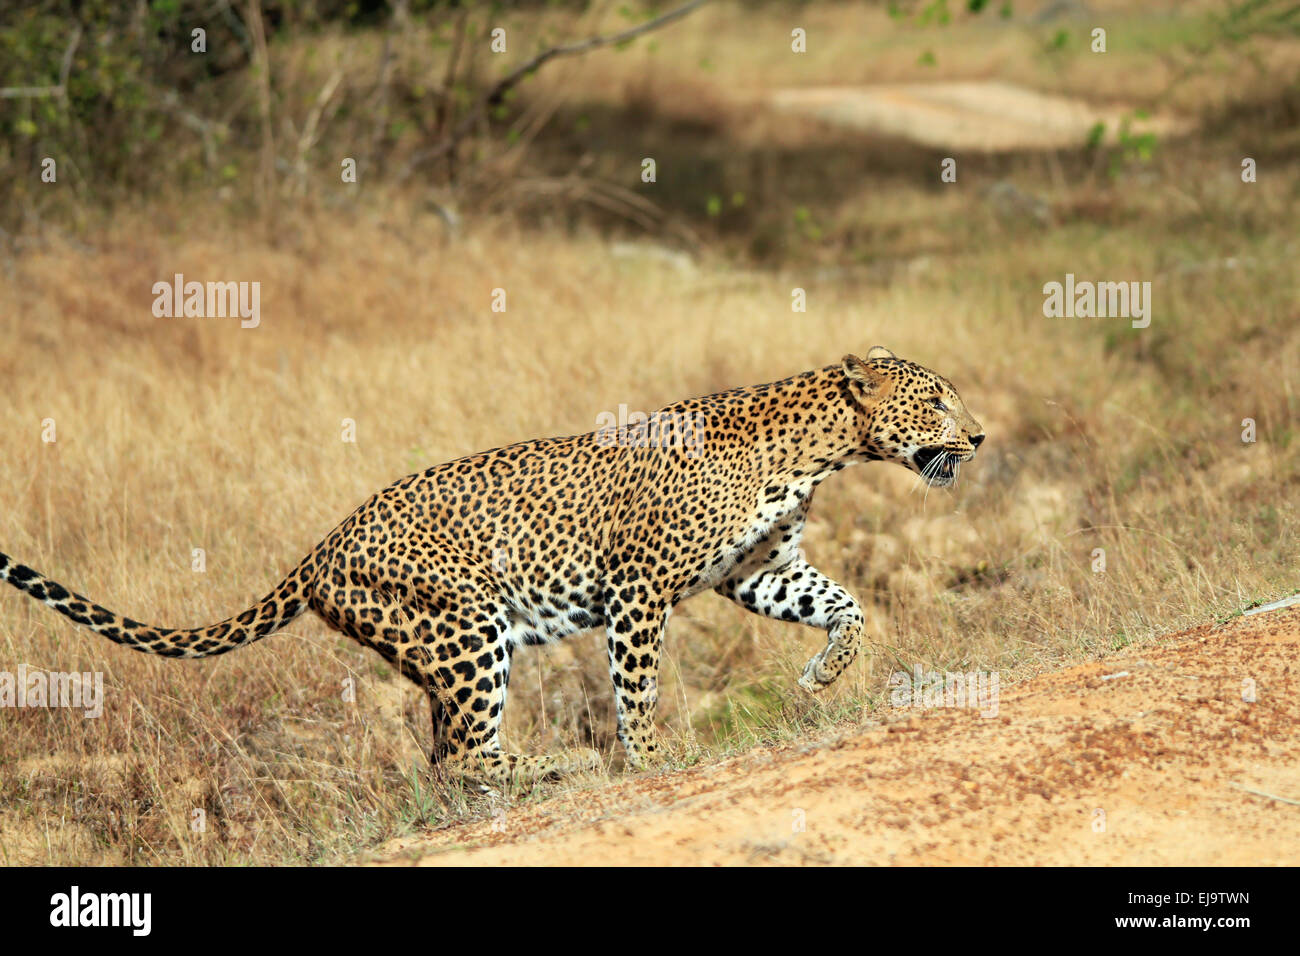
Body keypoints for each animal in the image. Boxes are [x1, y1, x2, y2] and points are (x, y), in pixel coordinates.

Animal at [0, 347, 984, 786]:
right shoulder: (637, 587)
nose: (977, 437)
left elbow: (846, 604)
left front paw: (825, 673)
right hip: (468, 625)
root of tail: (323, 545)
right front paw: (654, 756)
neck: (818, 454)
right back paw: (560, 766)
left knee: (447, 757)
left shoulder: (757, 569)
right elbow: (637, 686)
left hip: (440, 648)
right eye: (937, 398)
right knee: (470, 754)